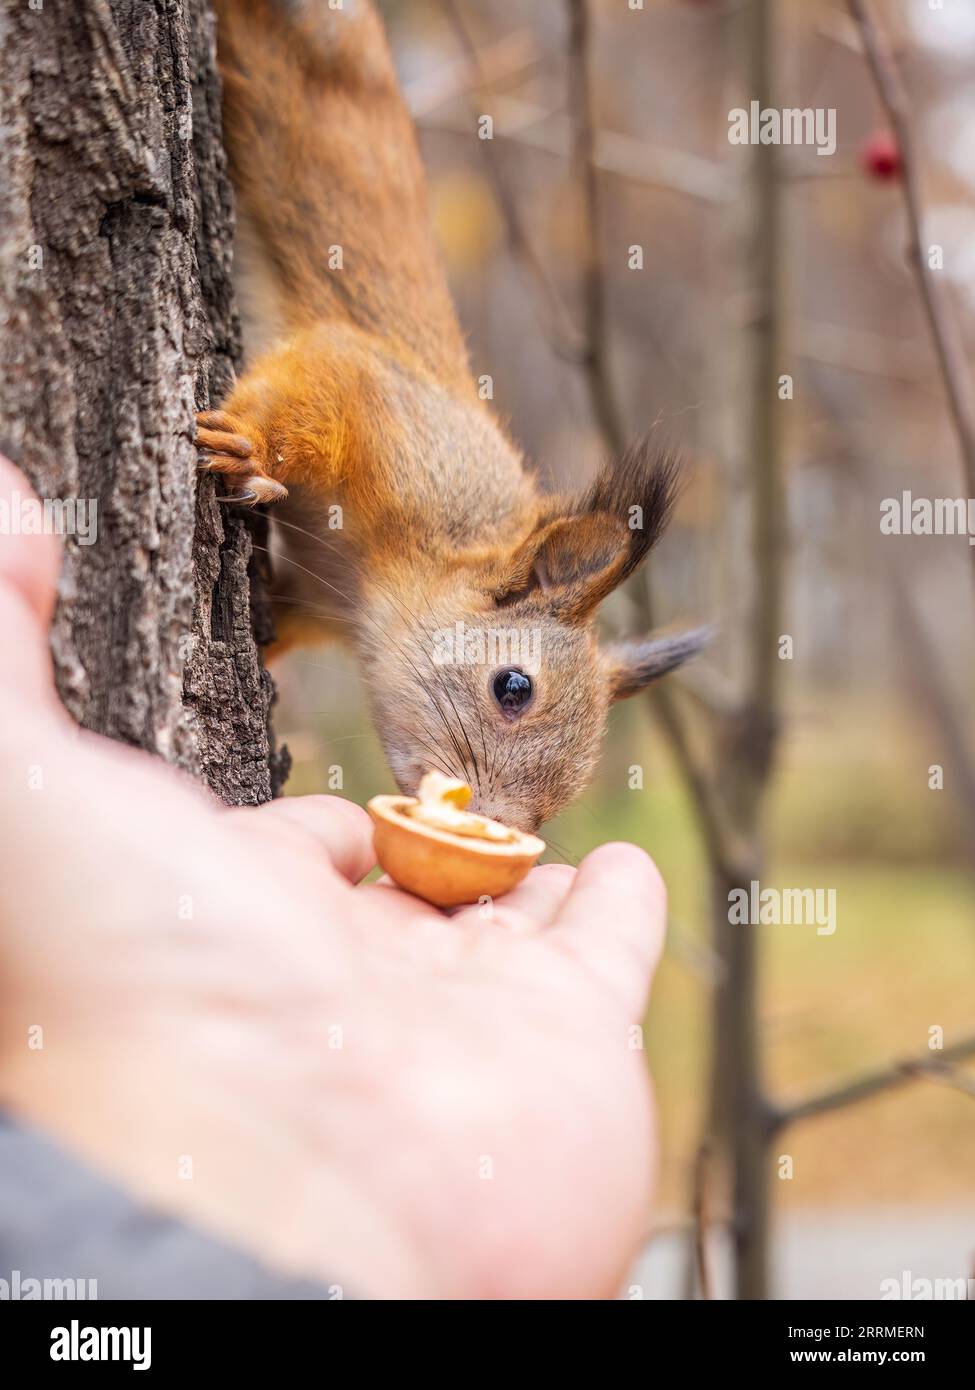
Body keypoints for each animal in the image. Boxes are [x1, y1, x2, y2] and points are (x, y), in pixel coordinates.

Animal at [199, 0, 705, 833]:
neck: (374, 584)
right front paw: (249, 447)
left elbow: (281, 615)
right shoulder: (389, 415)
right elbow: (317, 383)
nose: (497, 824)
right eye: (512, 687)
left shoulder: (316, 600)